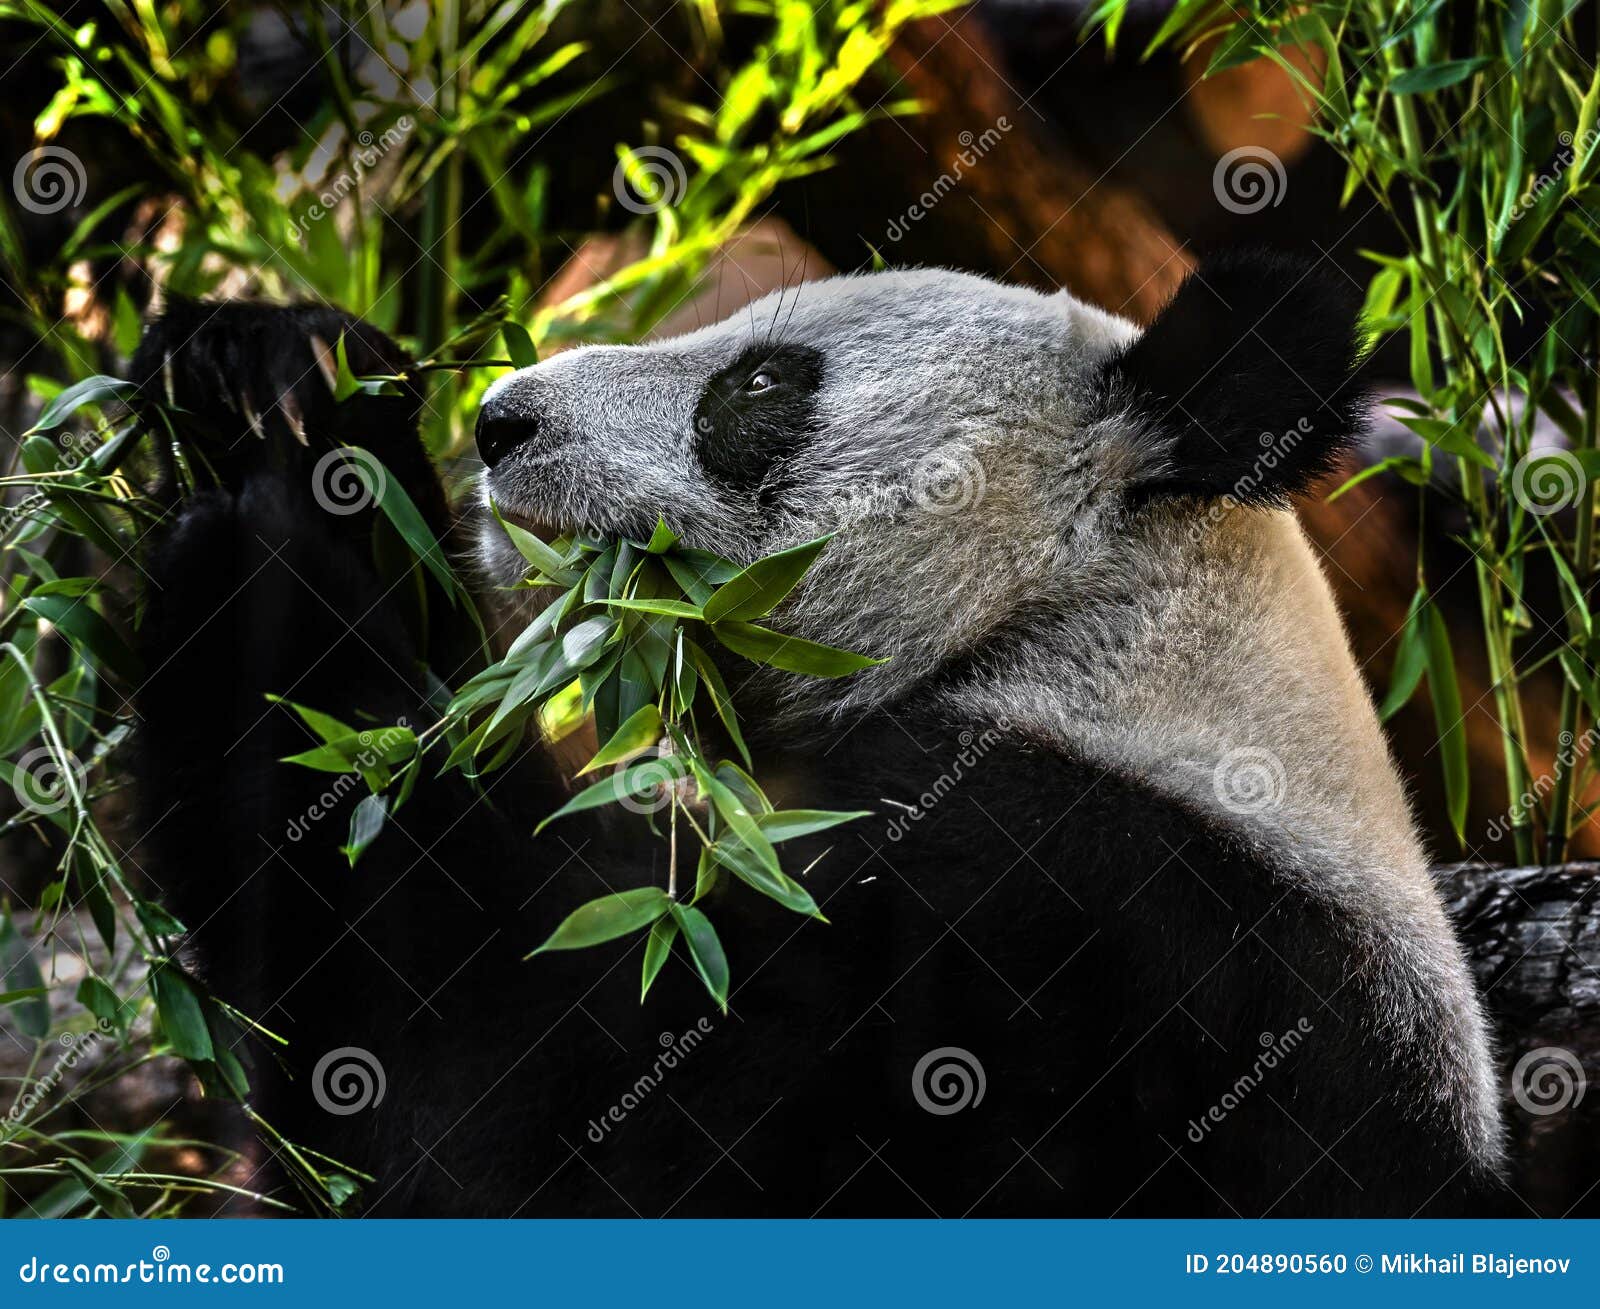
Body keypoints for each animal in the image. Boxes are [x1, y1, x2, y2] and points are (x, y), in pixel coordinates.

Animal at [128, 250, 1504, 1217]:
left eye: (759, 383)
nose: (501, 422)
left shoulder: (1058, 922)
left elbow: (509, 1119)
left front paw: (267, 536)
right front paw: (280, 370)